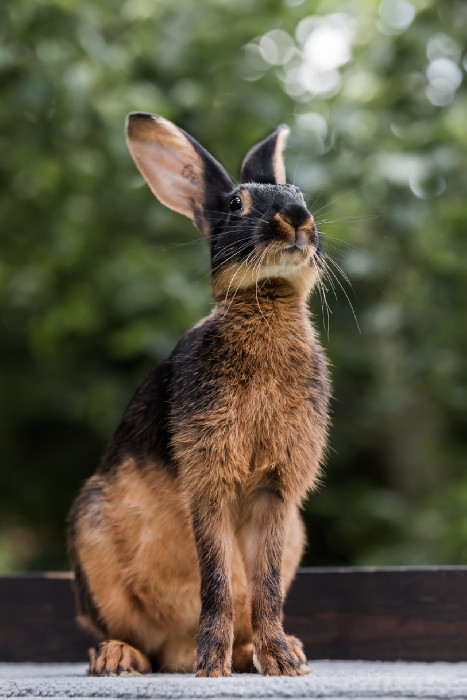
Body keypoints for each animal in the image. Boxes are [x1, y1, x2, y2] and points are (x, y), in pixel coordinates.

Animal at [67, 113, 330, 678]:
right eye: (235, 204)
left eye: (300, 192)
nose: (298, 217)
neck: (267, 303)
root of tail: (174, 647)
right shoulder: (208, 478)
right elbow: (216, 579)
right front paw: (211, 667)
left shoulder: (275, 492)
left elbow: (265, 584)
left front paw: (283, 663)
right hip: (92, 543)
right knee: (129, 636)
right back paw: (124, 657)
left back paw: (261, 651)